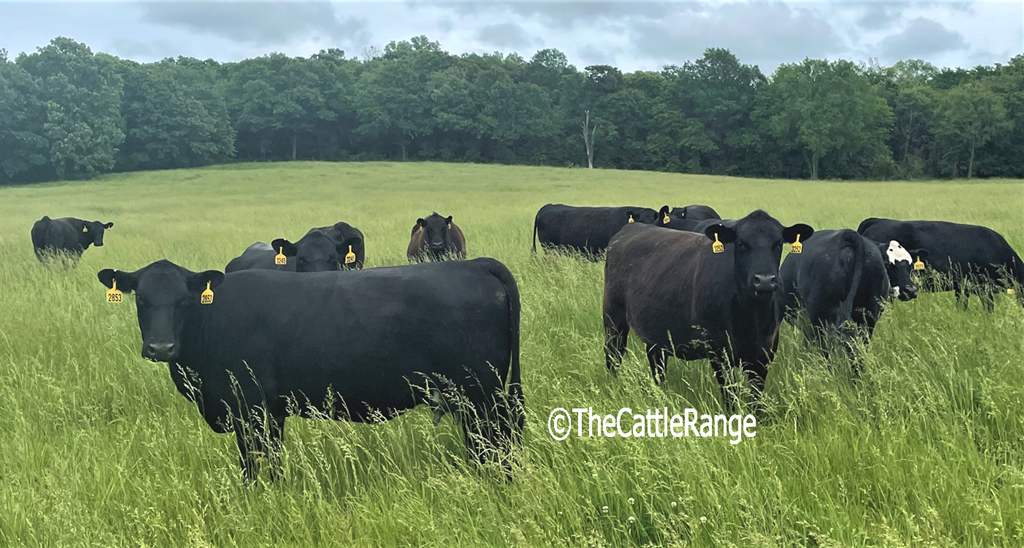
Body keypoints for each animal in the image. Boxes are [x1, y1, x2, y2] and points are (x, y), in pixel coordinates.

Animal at [97, 258, 522, 482]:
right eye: (142, 300)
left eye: (184, 301)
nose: (161, 348)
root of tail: (472, 264)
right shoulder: (270, 410)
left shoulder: (250, 407)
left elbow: (254, 461)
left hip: (482, 394)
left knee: (497, 441)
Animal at [603, 210, 814, 410]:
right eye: (741, 243)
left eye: (778, 243)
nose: (764, 280)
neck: (751, 317)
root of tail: (630, 229)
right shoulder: (719, 352)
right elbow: (730, 396)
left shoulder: (764, 354)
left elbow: (756, 400)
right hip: (613, 320)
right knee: (613, 355)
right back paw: (613, 388)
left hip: (656, 333)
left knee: (657, 364)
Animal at [779, 230, 927, 367]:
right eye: (888, 263)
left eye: (910, 265)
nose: (911, 290)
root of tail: (848, 234)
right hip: (867, 317)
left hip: (822, 317)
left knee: (828, 349)